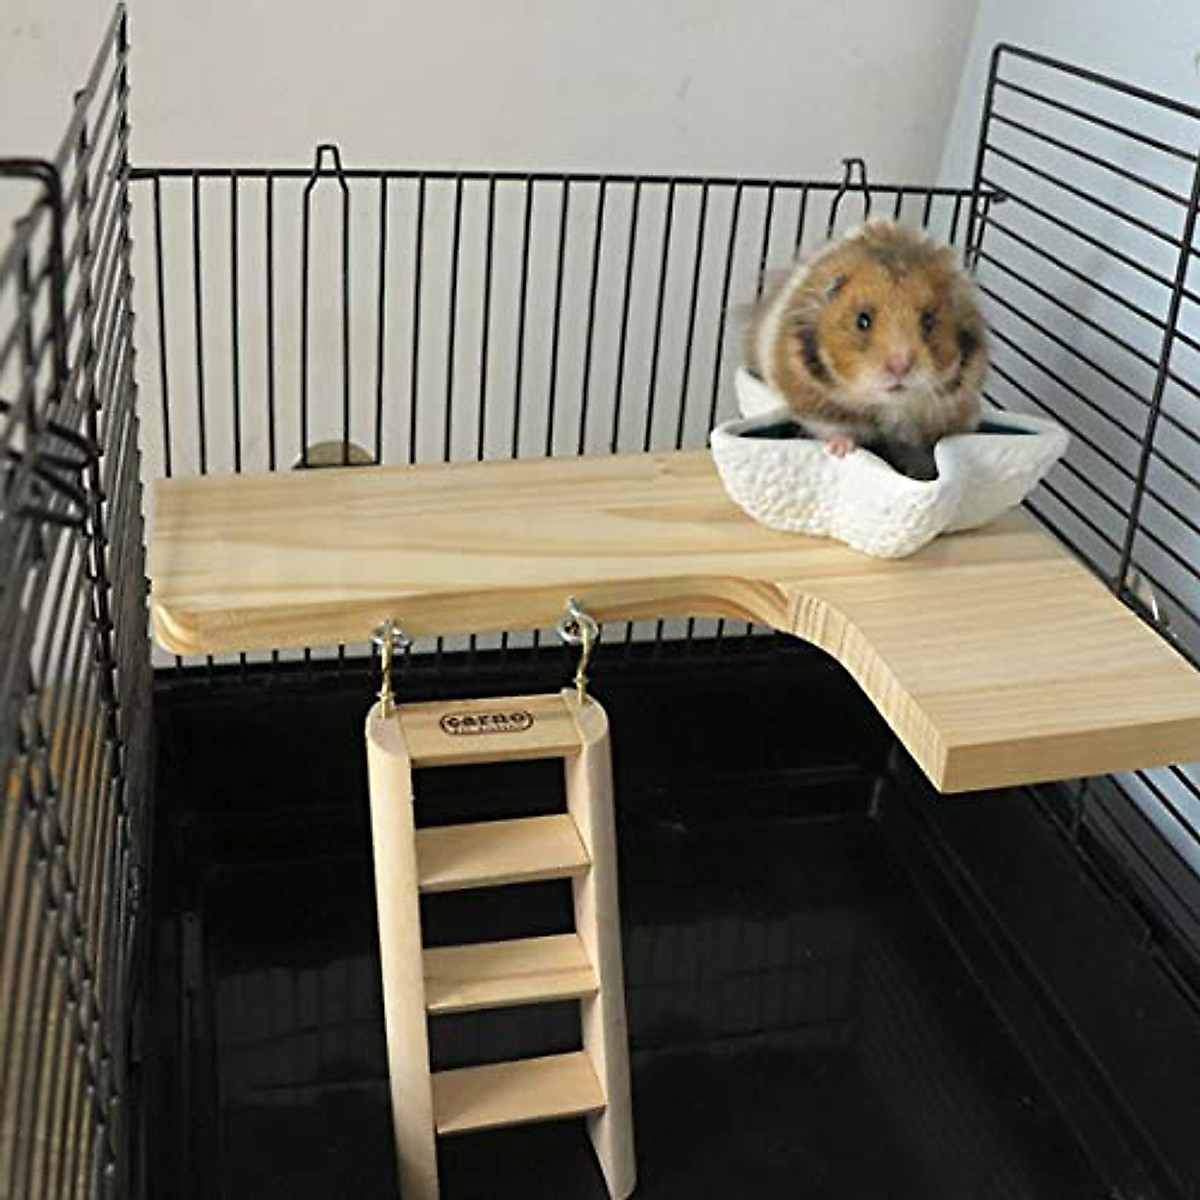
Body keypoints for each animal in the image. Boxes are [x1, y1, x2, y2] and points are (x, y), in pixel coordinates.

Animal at [745, 219, 988, 480]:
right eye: (862, 321)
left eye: (928, 322)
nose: (900, 365)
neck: (887, 407)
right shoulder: (810, 396)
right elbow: (834, 427)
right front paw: (841, 450)